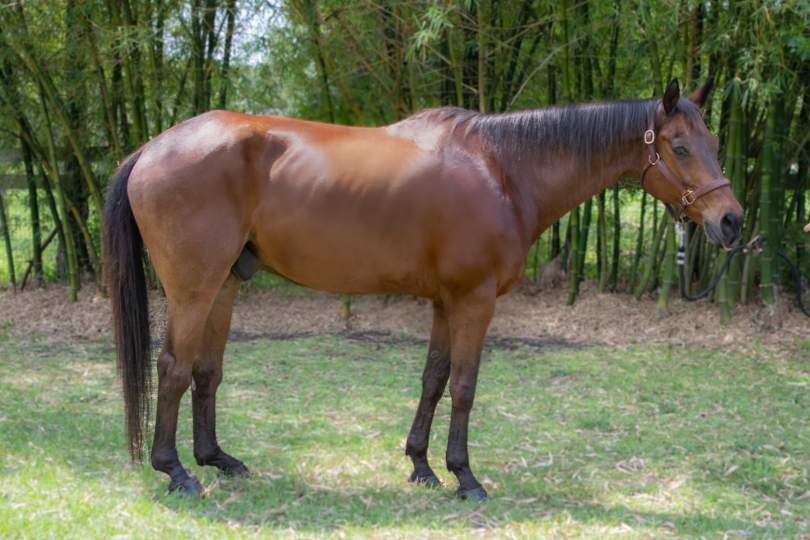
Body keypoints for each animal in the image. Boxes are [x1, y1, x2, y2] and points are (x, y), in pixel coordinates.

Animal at [103, 78, 742, 501]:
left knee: (206, 370)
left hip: (226, 285)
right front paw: (465, 476)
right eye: (680, 147)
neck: (503, 169)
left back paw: (216, 459)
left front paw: (421, 467)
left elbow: (433, 379)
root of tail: (153, 147)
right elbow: (464, 386)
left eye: (715, 141)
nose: (731, 221)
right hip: (194, 288)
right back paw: (176, 471)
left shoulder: (445, 301)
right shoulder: (474, 301)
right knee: (173, 367)